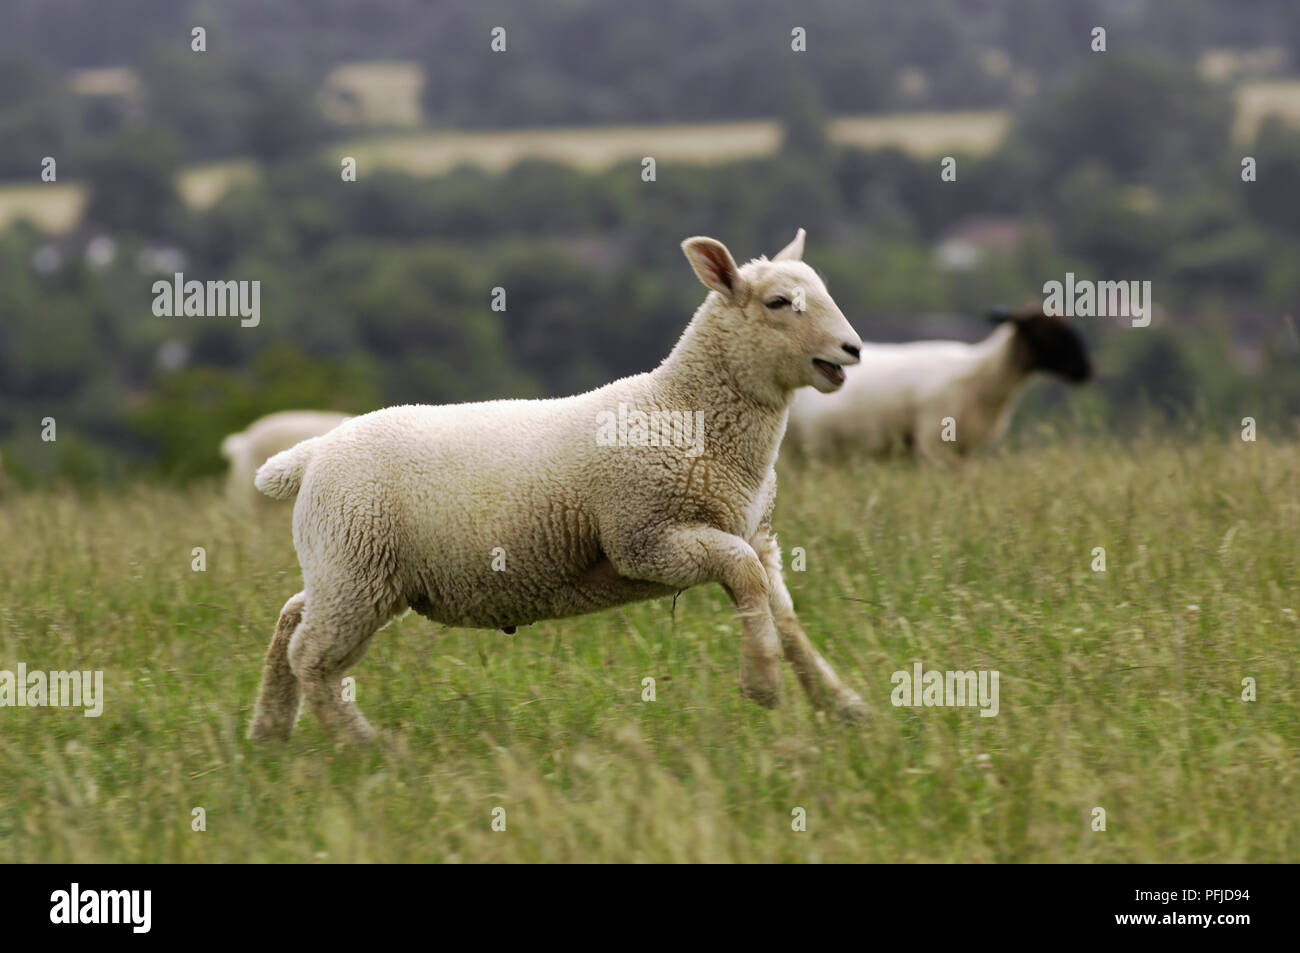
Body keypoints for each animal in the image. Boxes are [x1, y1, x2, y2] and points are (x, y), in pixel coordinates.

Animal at [248, 229, 866, 743]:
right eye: (778, 303)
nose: (853, 350)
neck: (685, 411)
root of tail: (314, 452)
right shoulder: (645, 538)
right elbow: (746, 577)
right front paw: (762, 683)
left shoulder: (755, 533)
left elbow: (782, 612)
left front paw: (838, 703)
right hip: (355, 565)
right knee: (312, 655)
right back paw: (360, 744)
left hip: (350, 566)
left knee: (292, 617)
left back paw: (270, 730)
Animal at [787, 303, 1091, 461]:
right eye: (1047, 333)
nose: (1086, 371)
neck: (981, 376)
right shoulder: (934, 444)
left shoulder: (965, 453)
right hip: (813, 448)